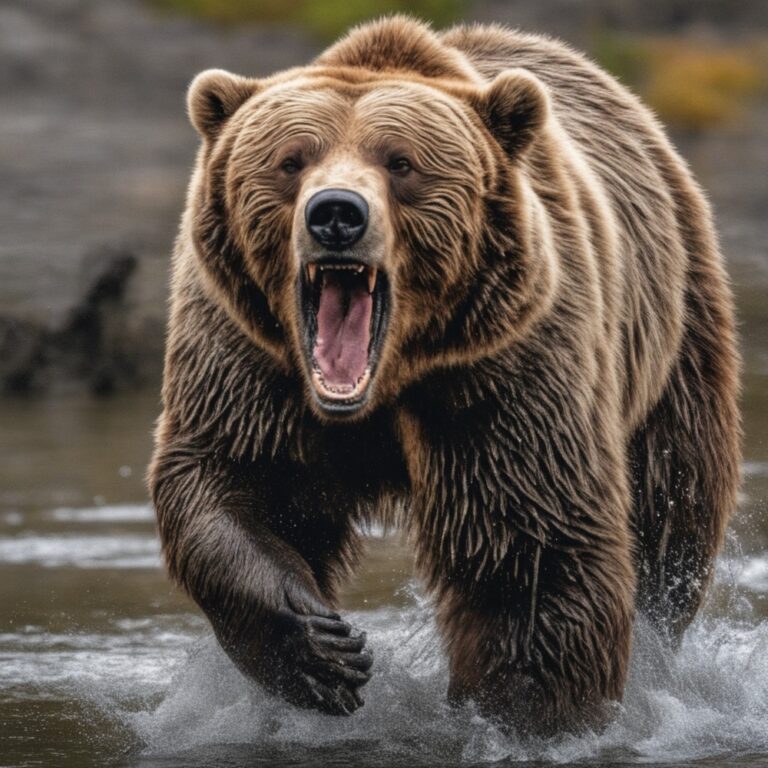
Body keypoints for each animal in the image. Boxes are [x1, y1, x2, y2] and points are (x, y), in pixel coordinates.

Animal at [149, 17, 741, 734]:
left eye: (400, 162)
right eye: (291, 159)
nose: (336, 213)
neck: (389, 379)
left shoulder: (503, 367)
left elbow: (527, 545)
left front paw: (528, 715)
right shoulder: (247, 352)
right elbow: (239, 482)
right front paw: (324, 654)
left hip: (675, 330)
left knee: (671, 506)